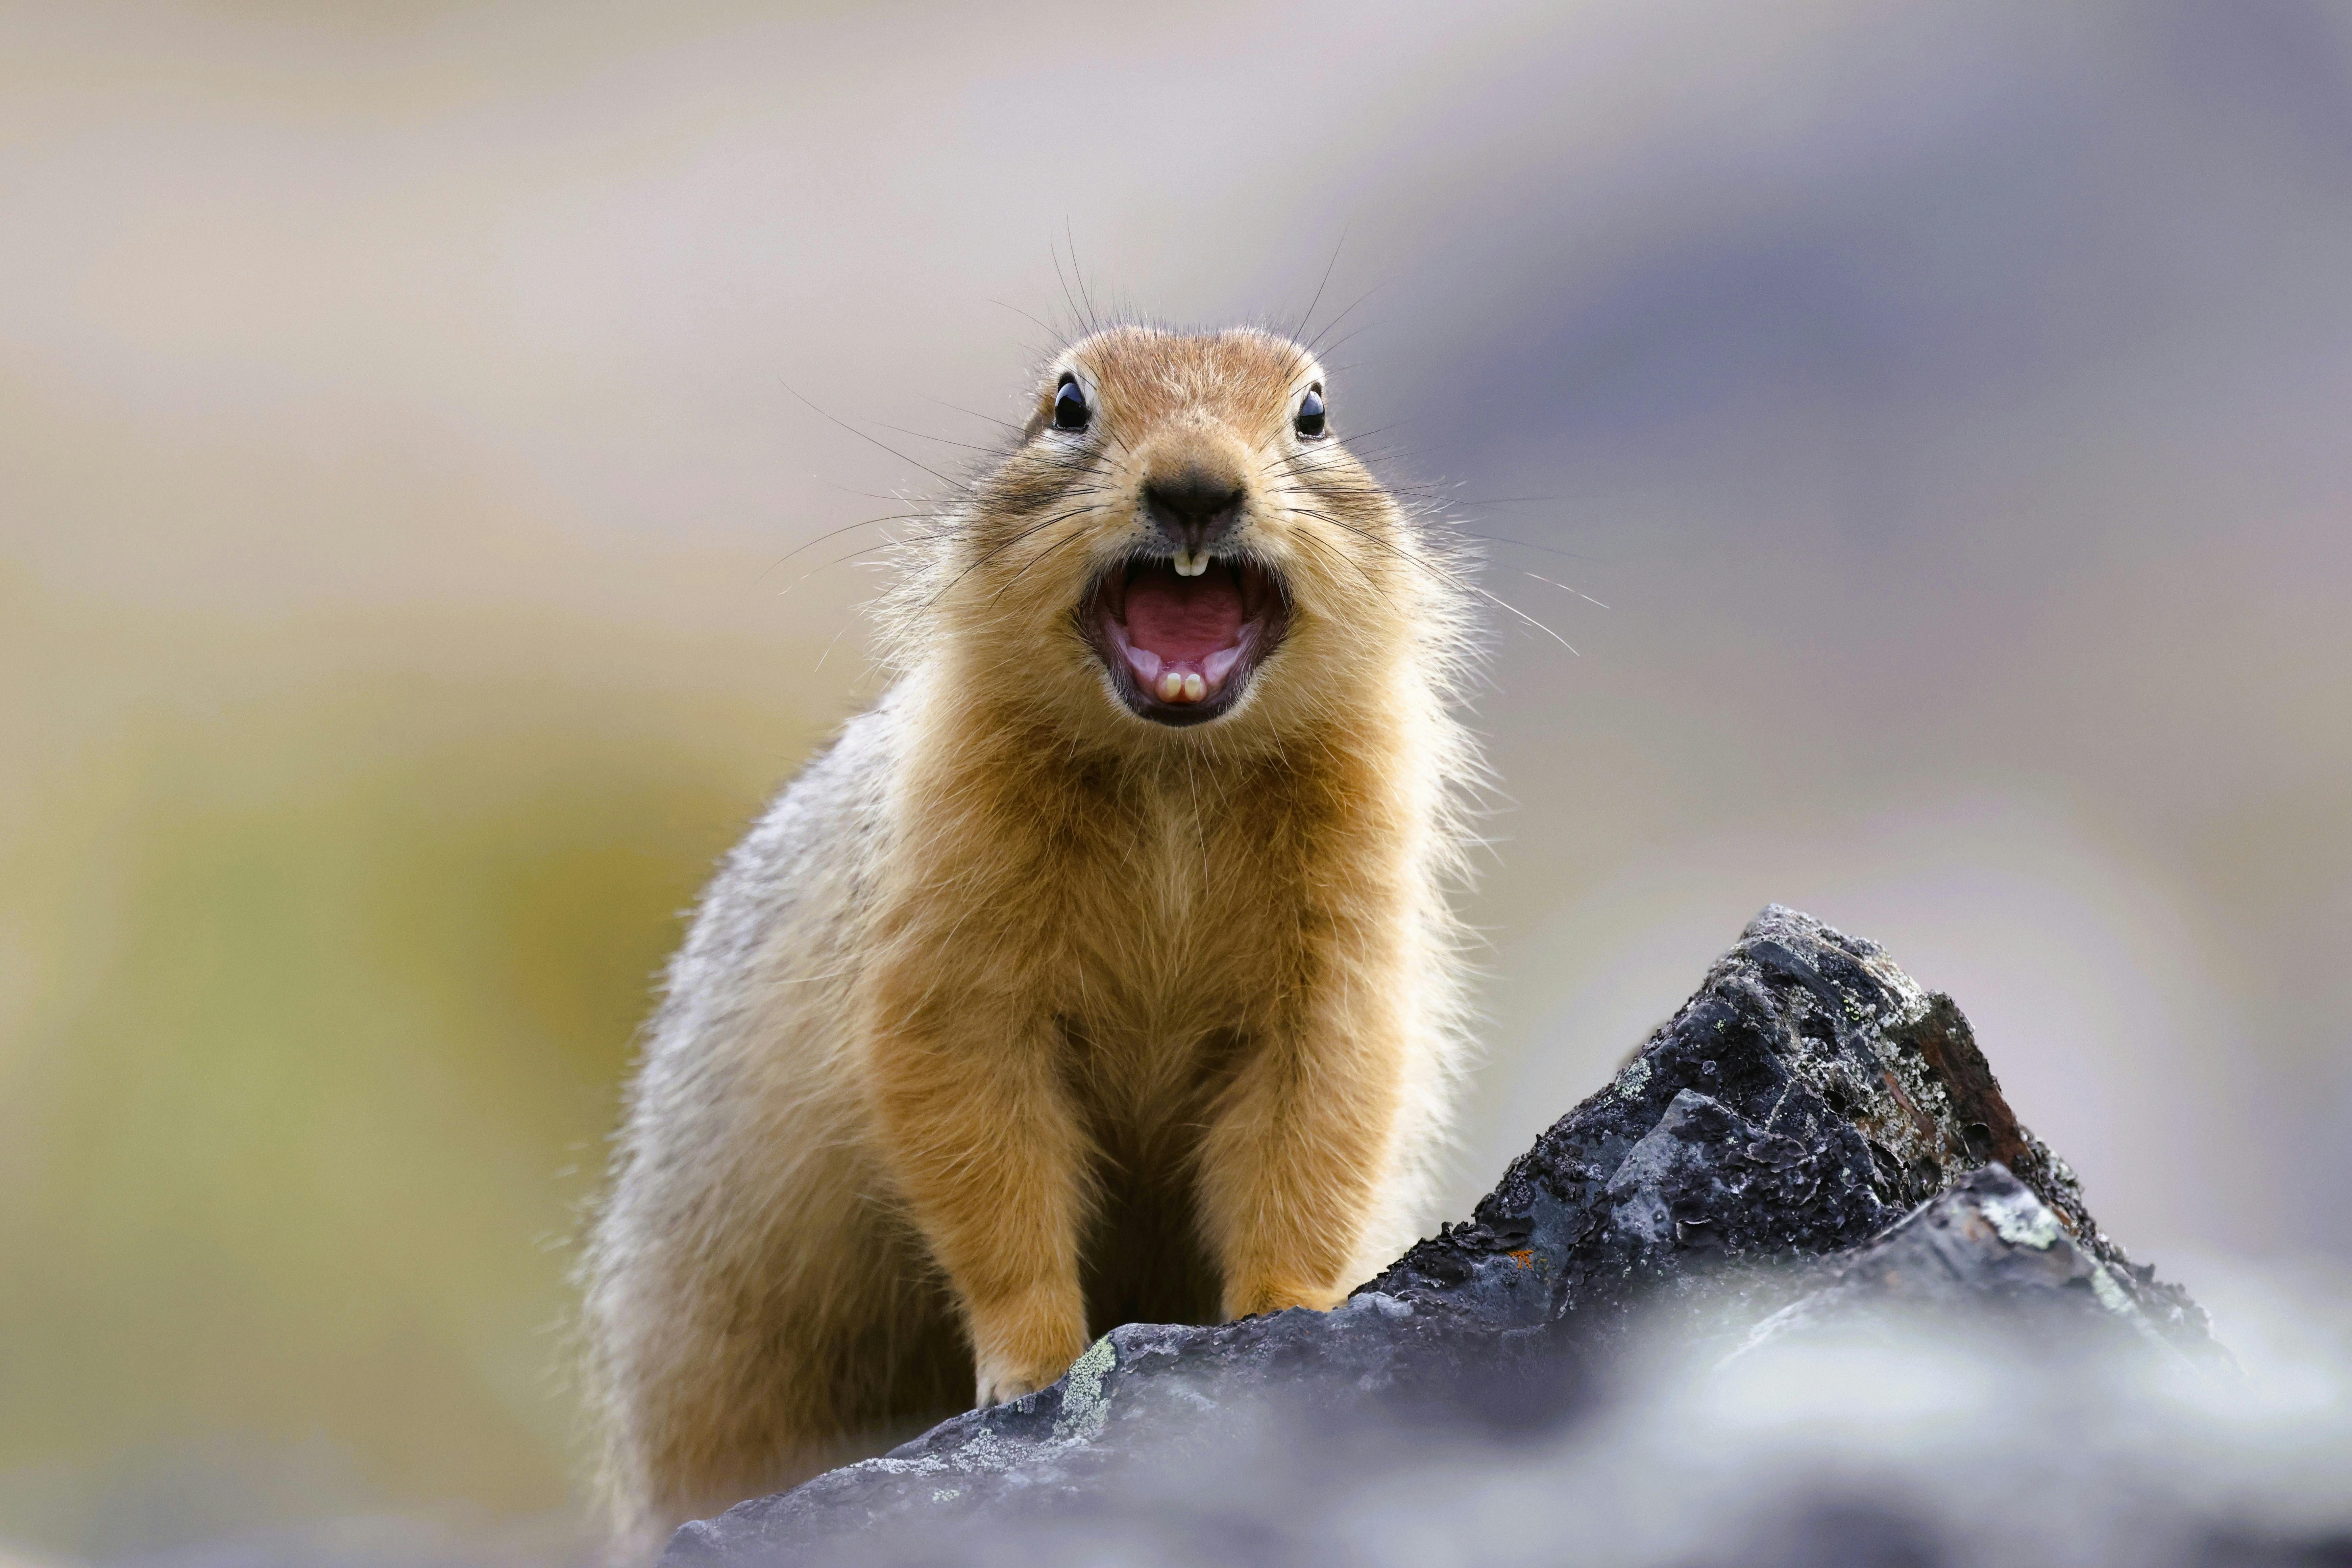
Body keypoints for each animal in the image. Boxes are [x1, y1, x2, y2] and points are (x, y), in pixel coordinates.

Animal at [579, 325, 1482, 1555]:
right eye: (1066, 404)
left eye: (1313, 414)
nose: (1195, 486)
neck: (1174, 774)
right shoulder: (951, 913)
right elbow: (980, 1139)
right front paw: (1036, 1369)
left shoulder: (1348, 938)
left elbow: (1317, 1119)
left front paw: (1288, 1312)